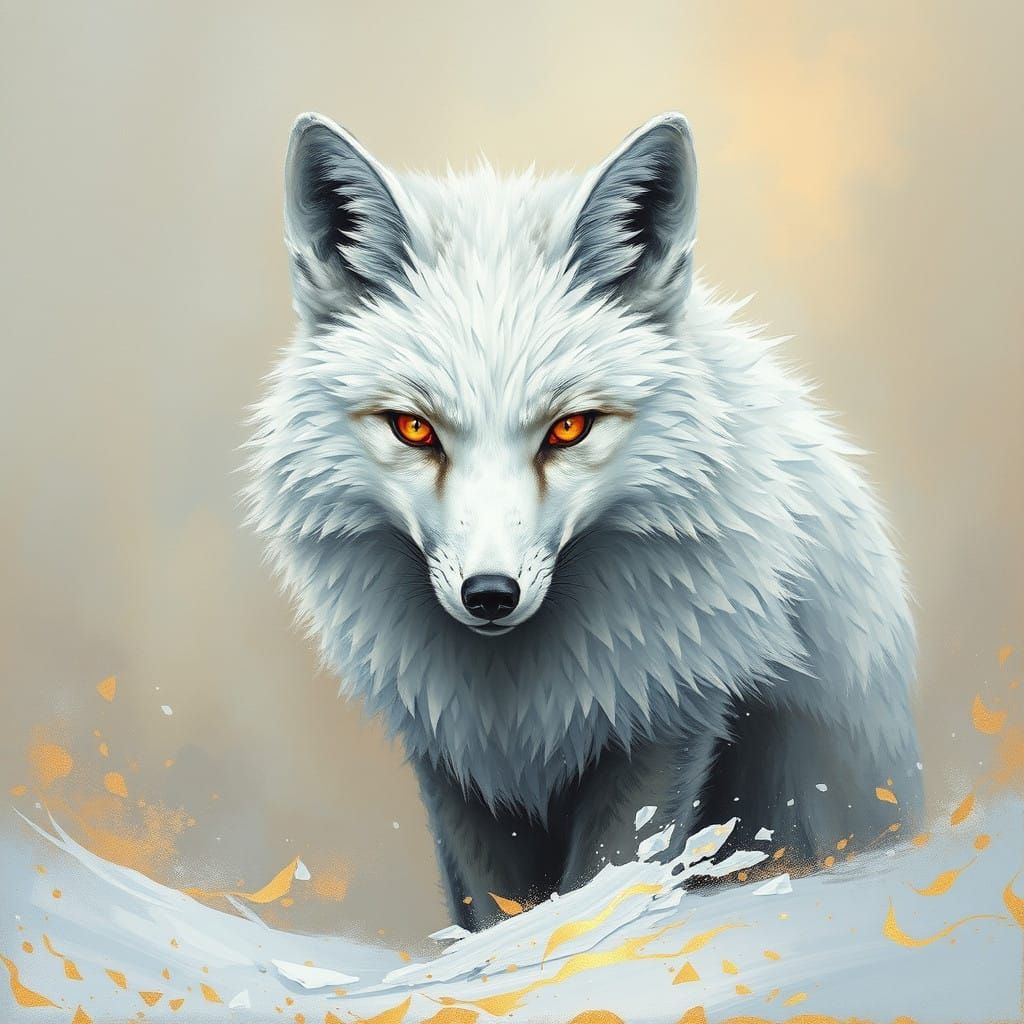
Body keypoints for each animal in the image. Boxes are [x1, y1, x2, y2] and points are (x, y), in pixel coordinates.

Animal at [246, 111, 923, 931]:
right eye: (413, 429)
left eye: (568, 430)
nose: (490, 596)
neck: (520, 708)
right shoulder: (449, 763)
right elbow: (498, 916)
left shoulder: (670, 721)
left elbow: (598, 892)